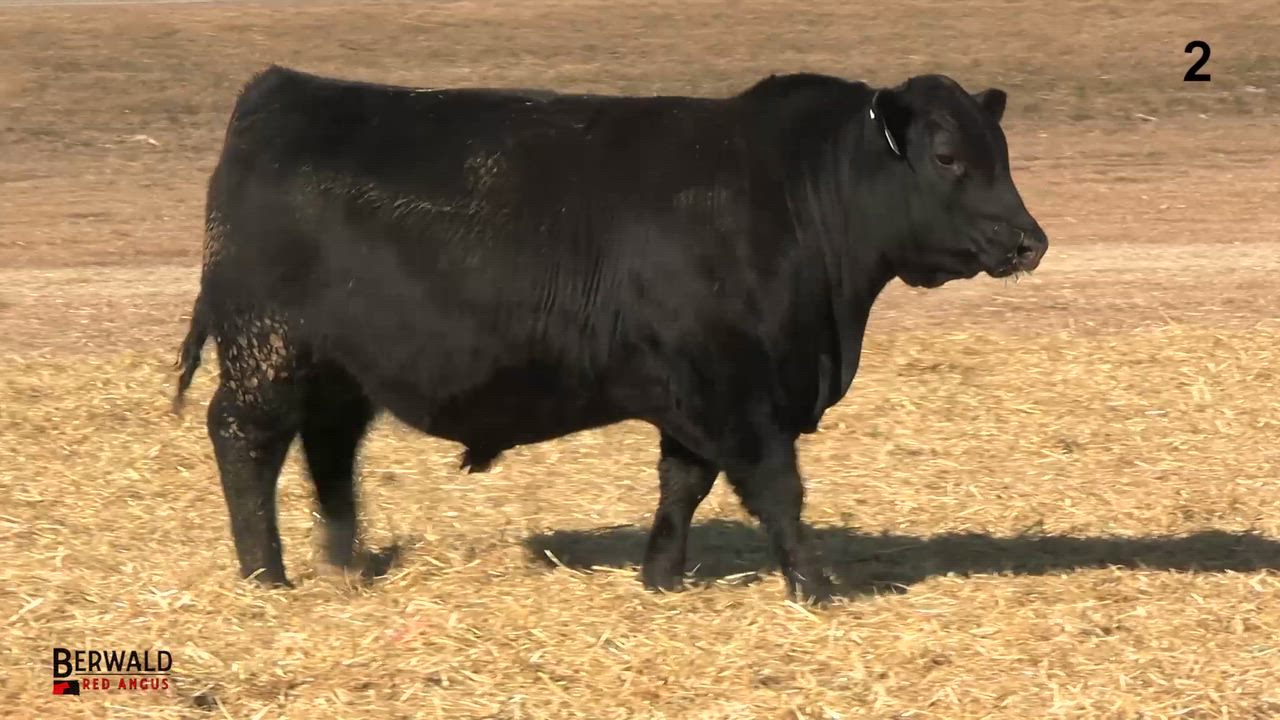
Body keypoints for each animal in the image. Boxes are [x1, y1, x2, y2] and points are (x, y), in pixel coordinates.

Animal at [172, 65, 1048, 603]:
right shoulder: (738, 393)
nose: (1028, 241)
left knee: (328, 450)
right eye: (948, 156)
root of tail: (279, 92)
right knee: (246, 442)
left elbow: (682, 486)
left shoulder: (700, 394)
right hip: (267, 353)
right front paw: (816, 586)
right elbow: (777, 489)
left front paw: (660, 578)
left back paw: (345, 561)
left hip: (338, 371)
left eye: (1001, 151)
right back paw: (266, 575)